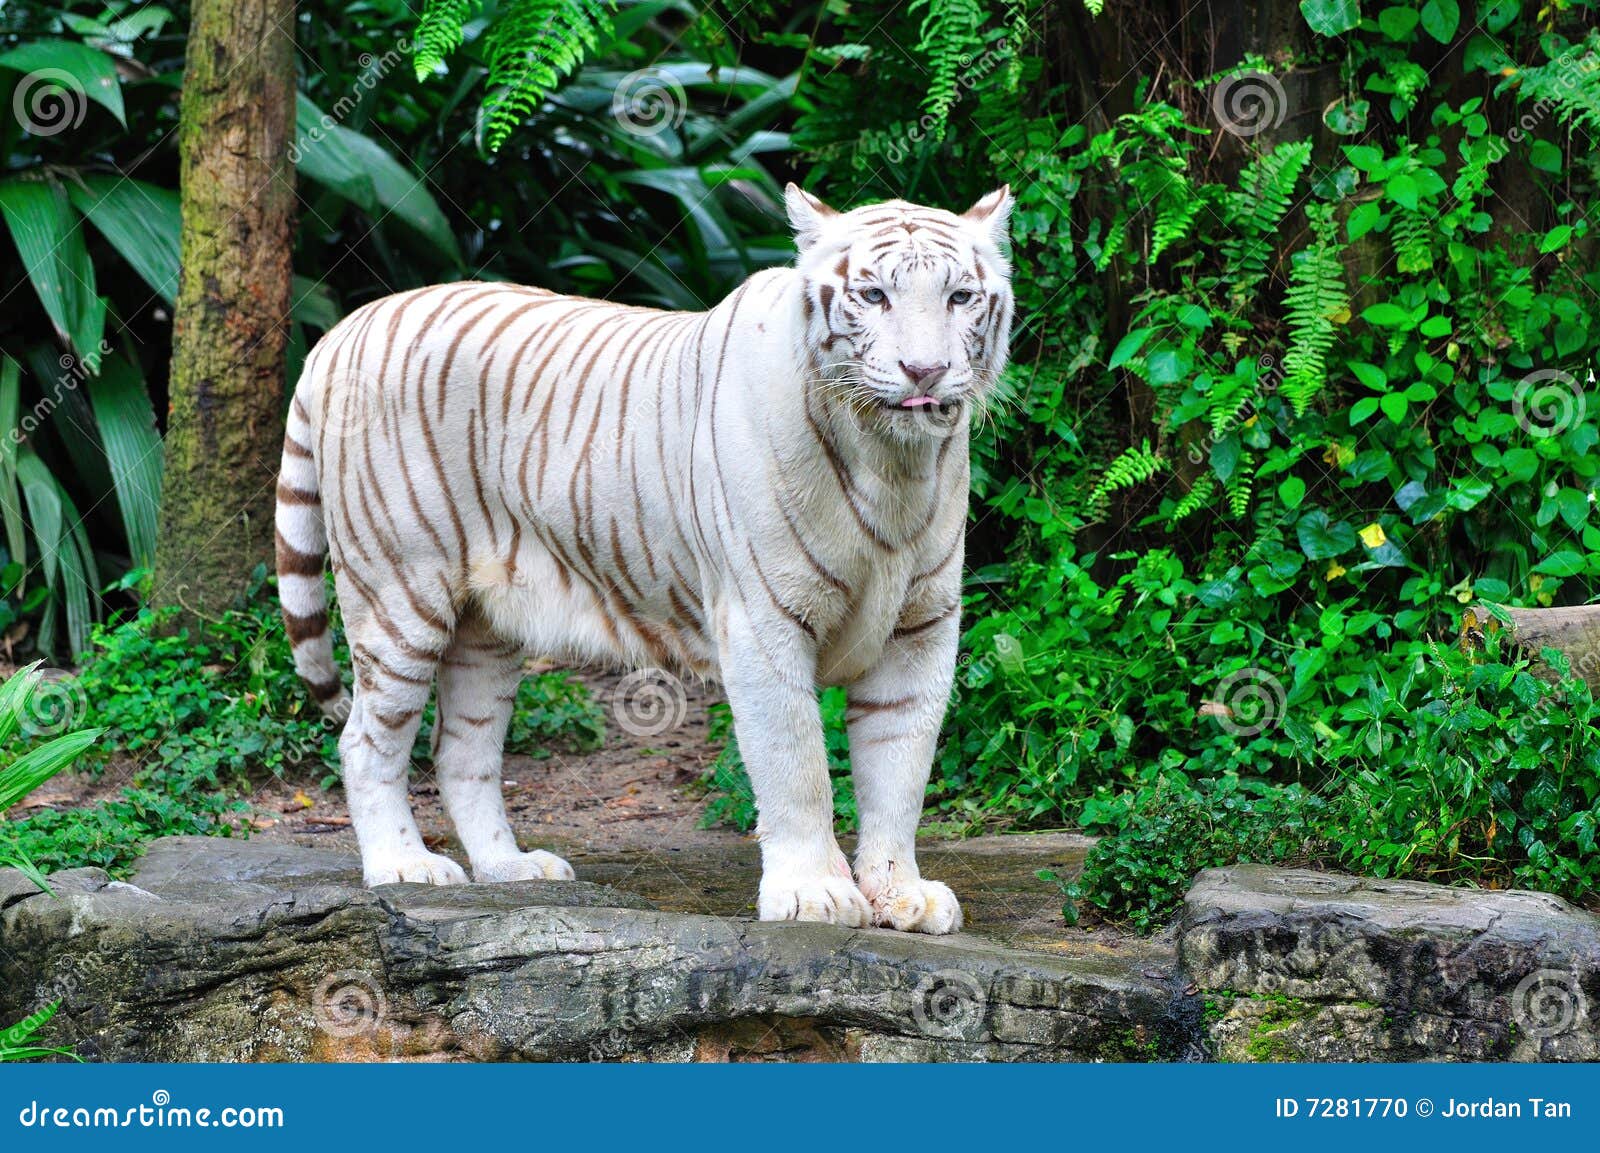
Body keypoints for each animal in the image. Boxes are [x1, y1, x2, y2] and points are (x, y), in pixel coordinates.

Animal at [275, 183, 1013, 934]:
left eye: (959, 297)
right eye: (872, 295)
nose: (924, 371)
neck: (890, 463)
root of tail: (346, 327)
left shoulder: (921, 628)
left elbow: (901, 768)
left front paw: (902, 893)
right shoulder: (763, 622)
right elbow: (797, 762)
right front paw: (814, 894)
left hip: (486, 626)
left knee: (461, 749)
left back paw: (510, 867)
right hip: (399, 596)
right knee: (365, 742)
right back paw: (405, 866)